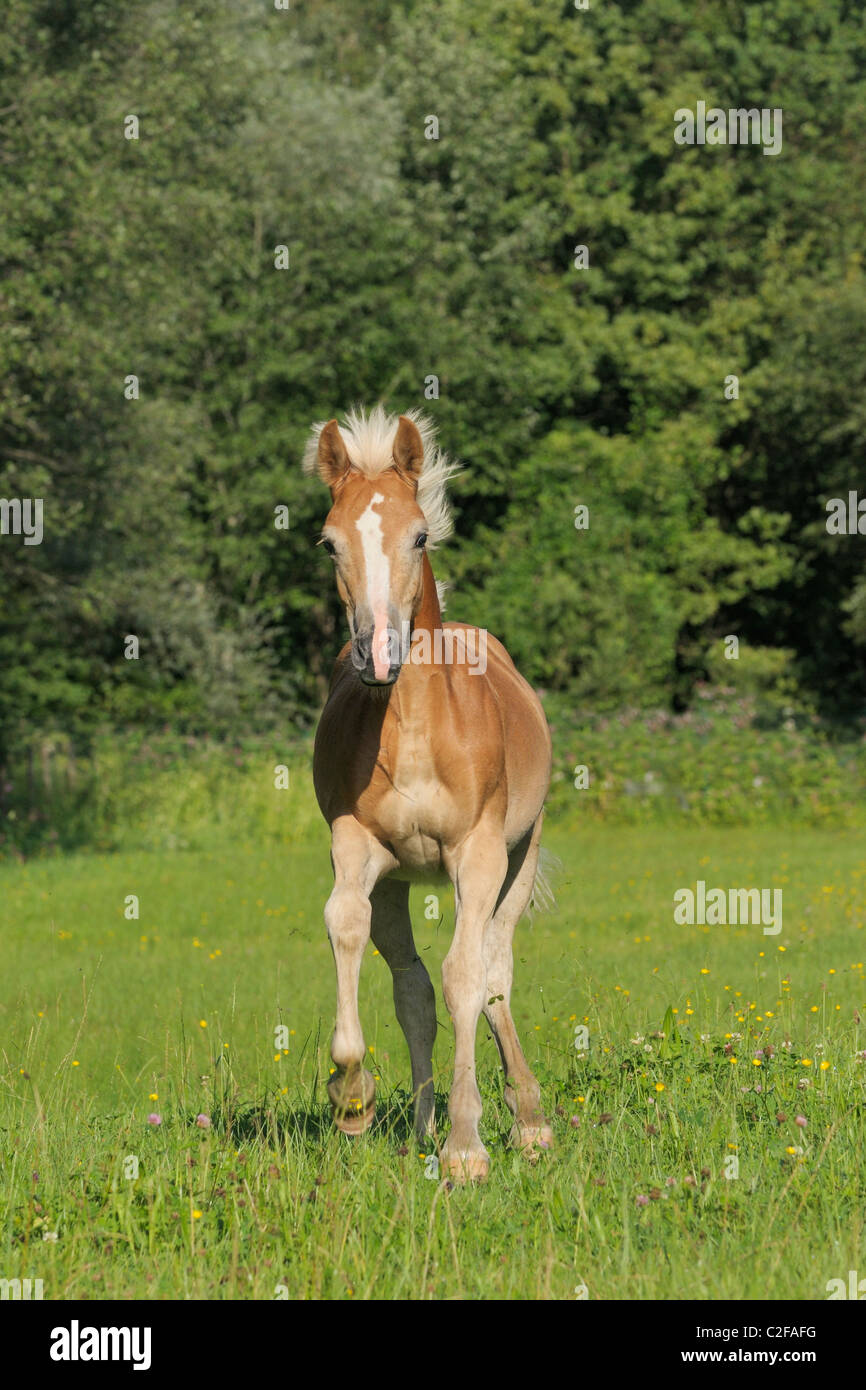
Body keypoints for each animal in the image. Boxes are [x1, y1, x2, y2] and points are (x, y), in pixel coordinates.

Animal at [303, 406, 553, 1182]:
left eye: (418, 535)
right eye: (330, 542)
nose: (379, 654)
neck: (413, 728)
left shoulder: (479, 856)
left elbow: (465, 976)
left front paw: (468, 1147)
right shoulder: (356, 848)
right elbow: (346, 928)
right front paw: (351, 1097)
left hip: (518, 860)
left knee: (496, 970)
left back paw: (529, 1121)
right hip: (398, 882)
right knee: (410, 985)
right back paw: (419, 1124)